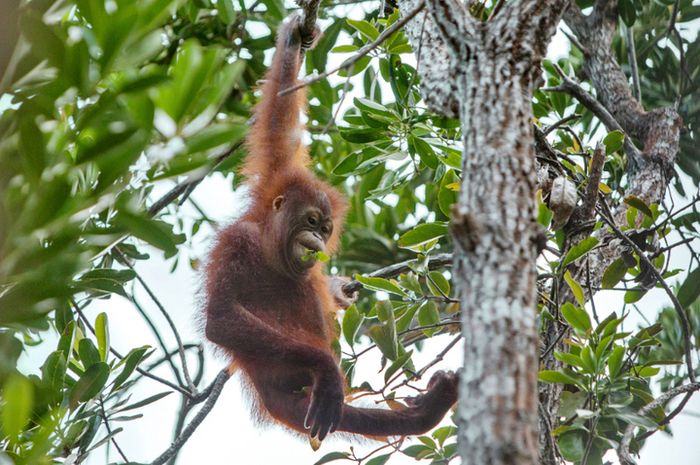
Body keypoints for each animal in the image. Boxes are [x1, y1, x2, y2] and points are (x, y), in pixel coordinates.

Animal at [203, 15, 458, 442]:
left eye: (325, 229)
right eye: (310, 222)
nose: (317, 238)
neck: (269, 245)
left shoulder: (278, 174)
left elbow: (281, 121)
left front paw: (292, 42)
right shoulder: (237, 242)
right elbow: (221, 318)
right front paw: (325, 368)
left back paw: (425, 410)